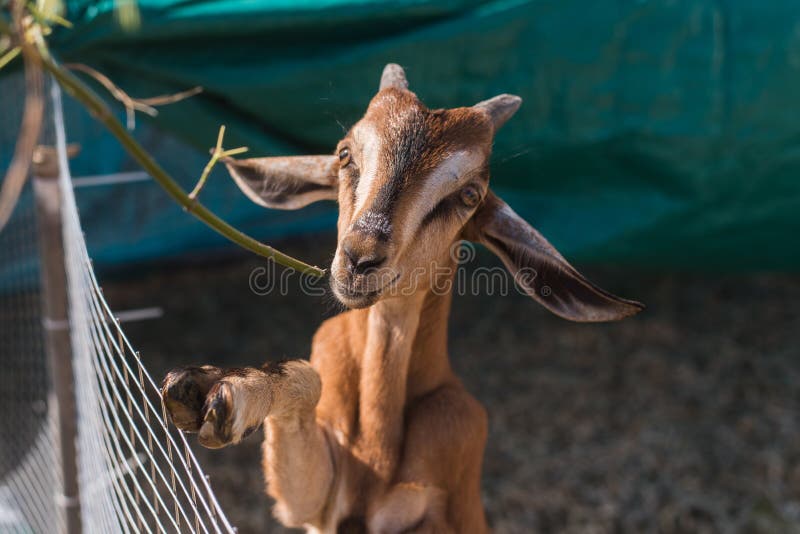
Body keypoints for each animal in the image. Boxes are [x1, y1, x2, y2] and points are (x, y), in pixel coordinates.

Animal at [162, 64, 643, 533]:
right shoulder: (318, 501)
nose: (359, 259)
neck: (375, 452)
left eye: (469, 195)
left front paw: (221, 396)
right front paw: (210, 388)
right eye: (345, 154)